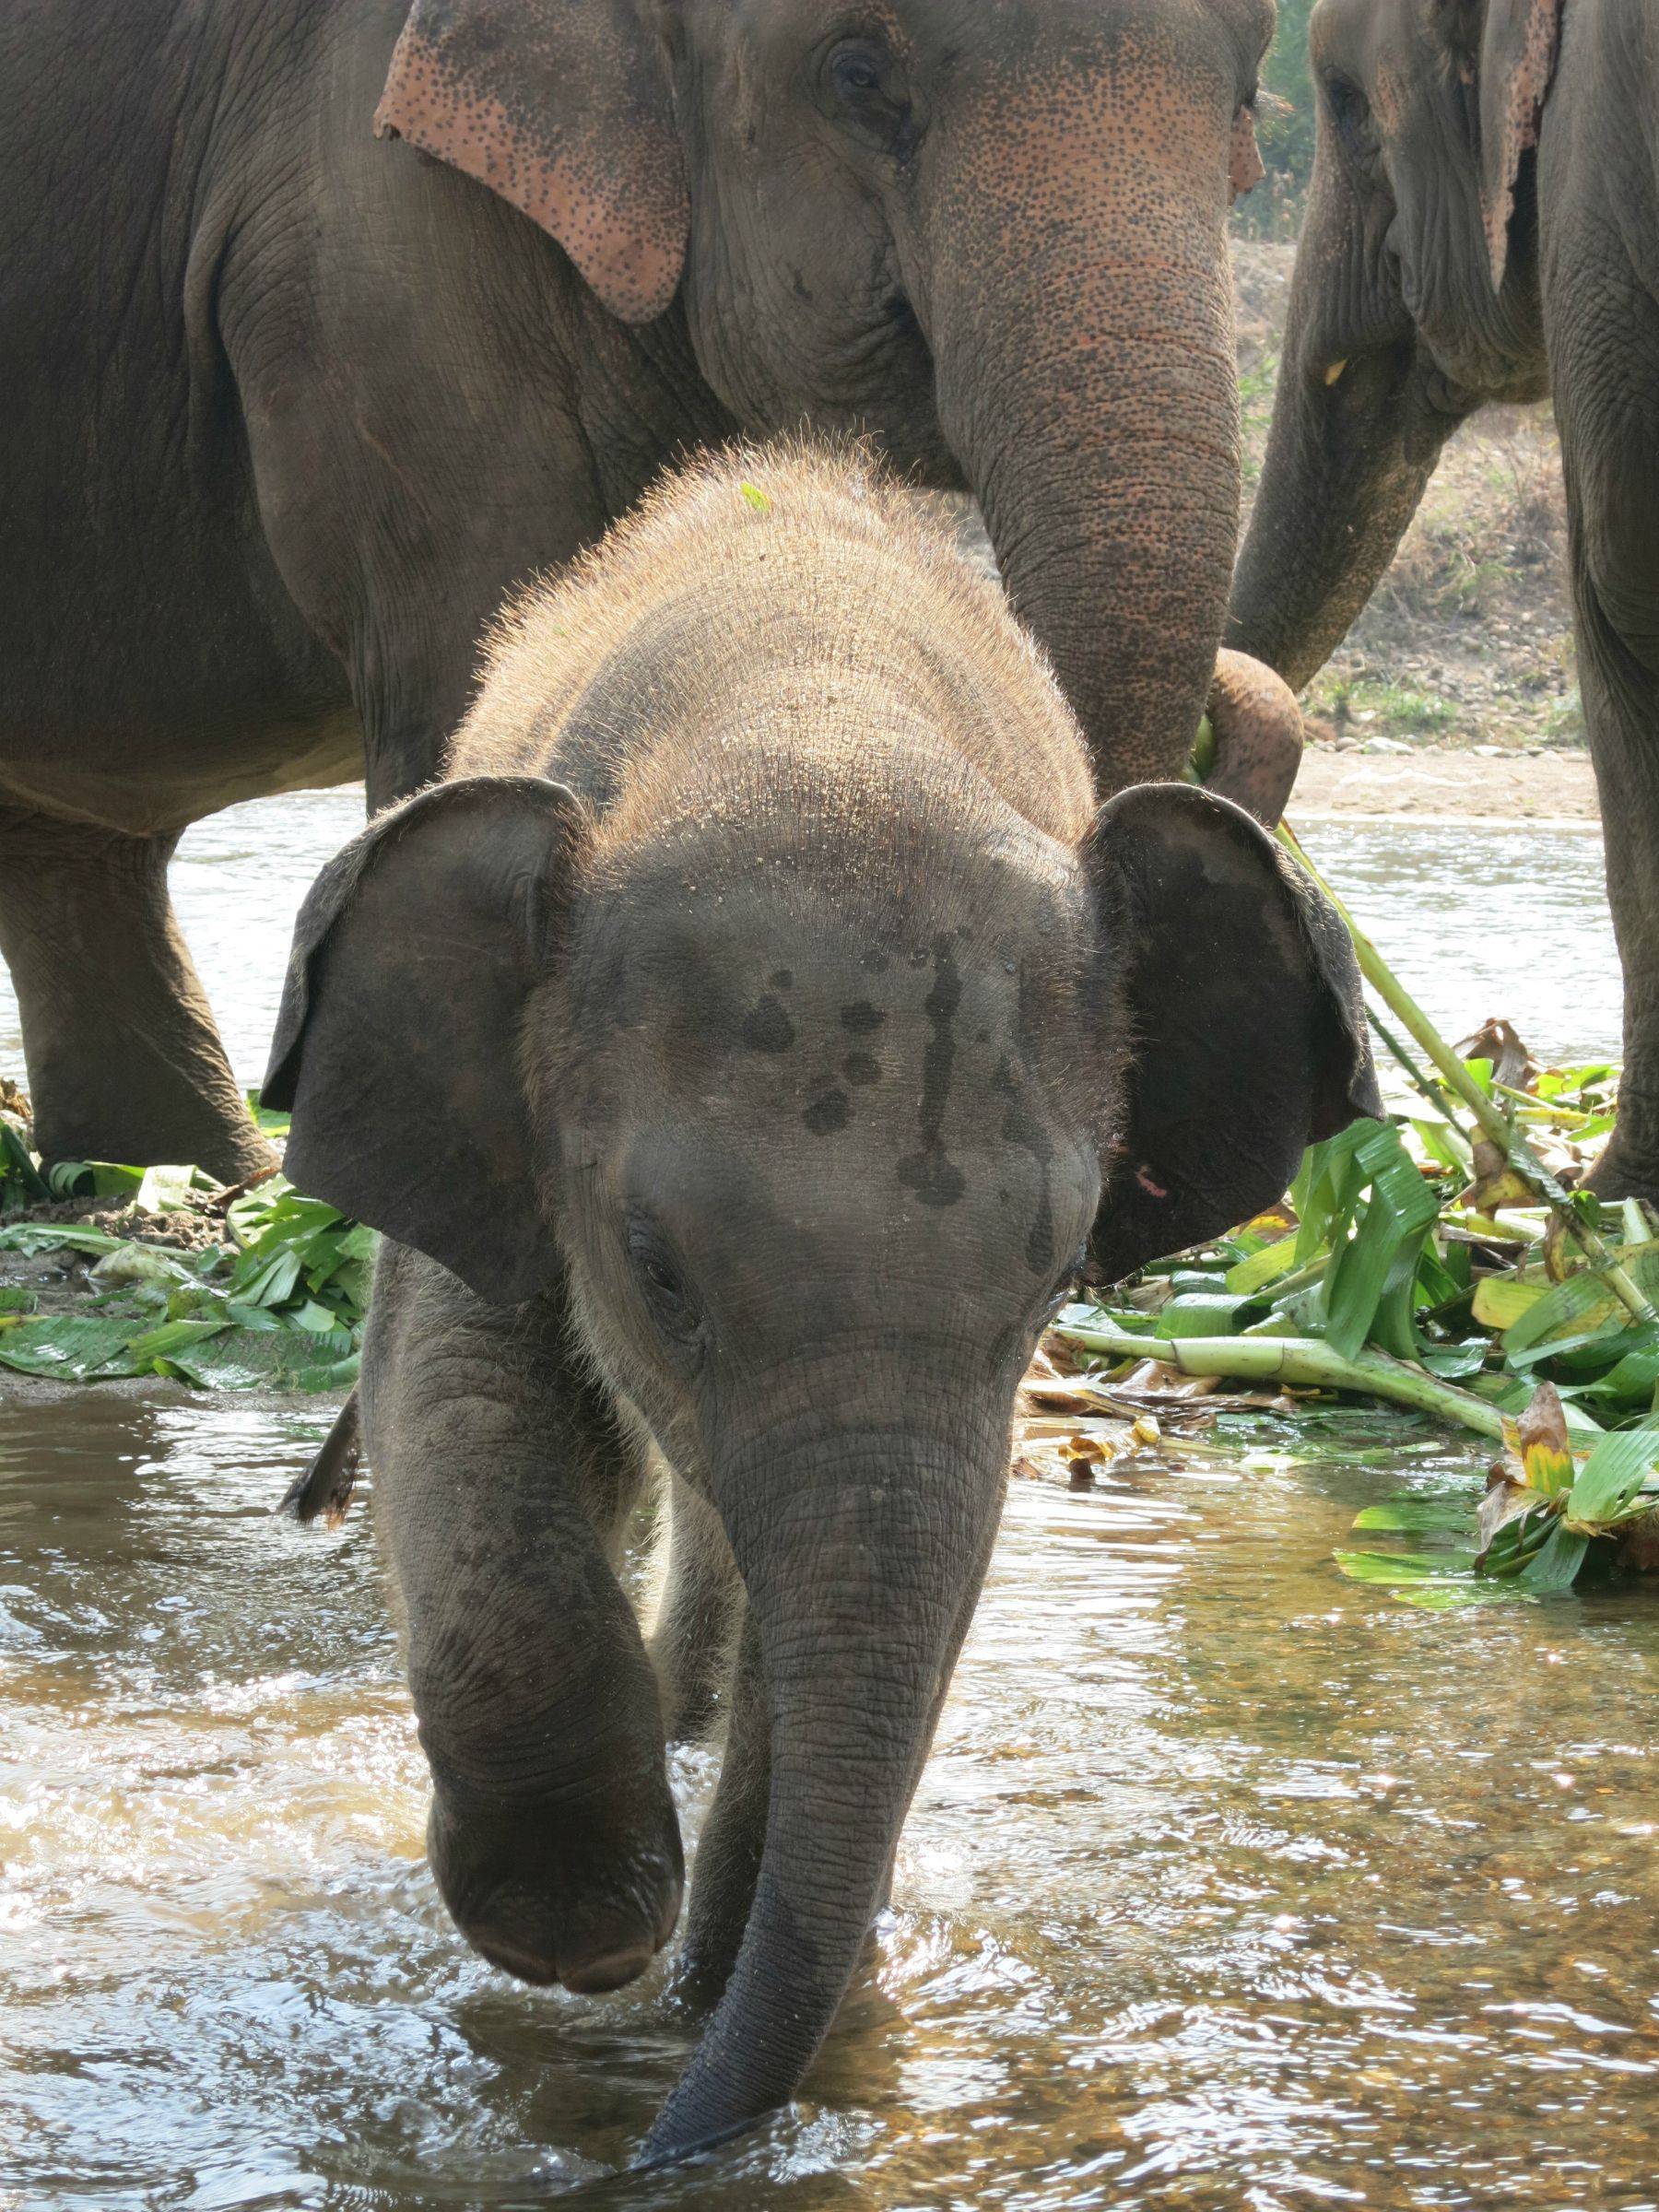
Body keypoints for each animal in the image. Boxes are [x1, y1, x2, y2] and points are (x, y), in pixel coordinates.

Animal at [265, 444, 1380, 2162]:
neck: (806, 700)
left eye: (1060, 1270)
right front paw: (582, 1933)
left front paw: (721, 1967)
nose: (660, 2139)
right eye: (655, 1266)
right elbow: (453, 1381)